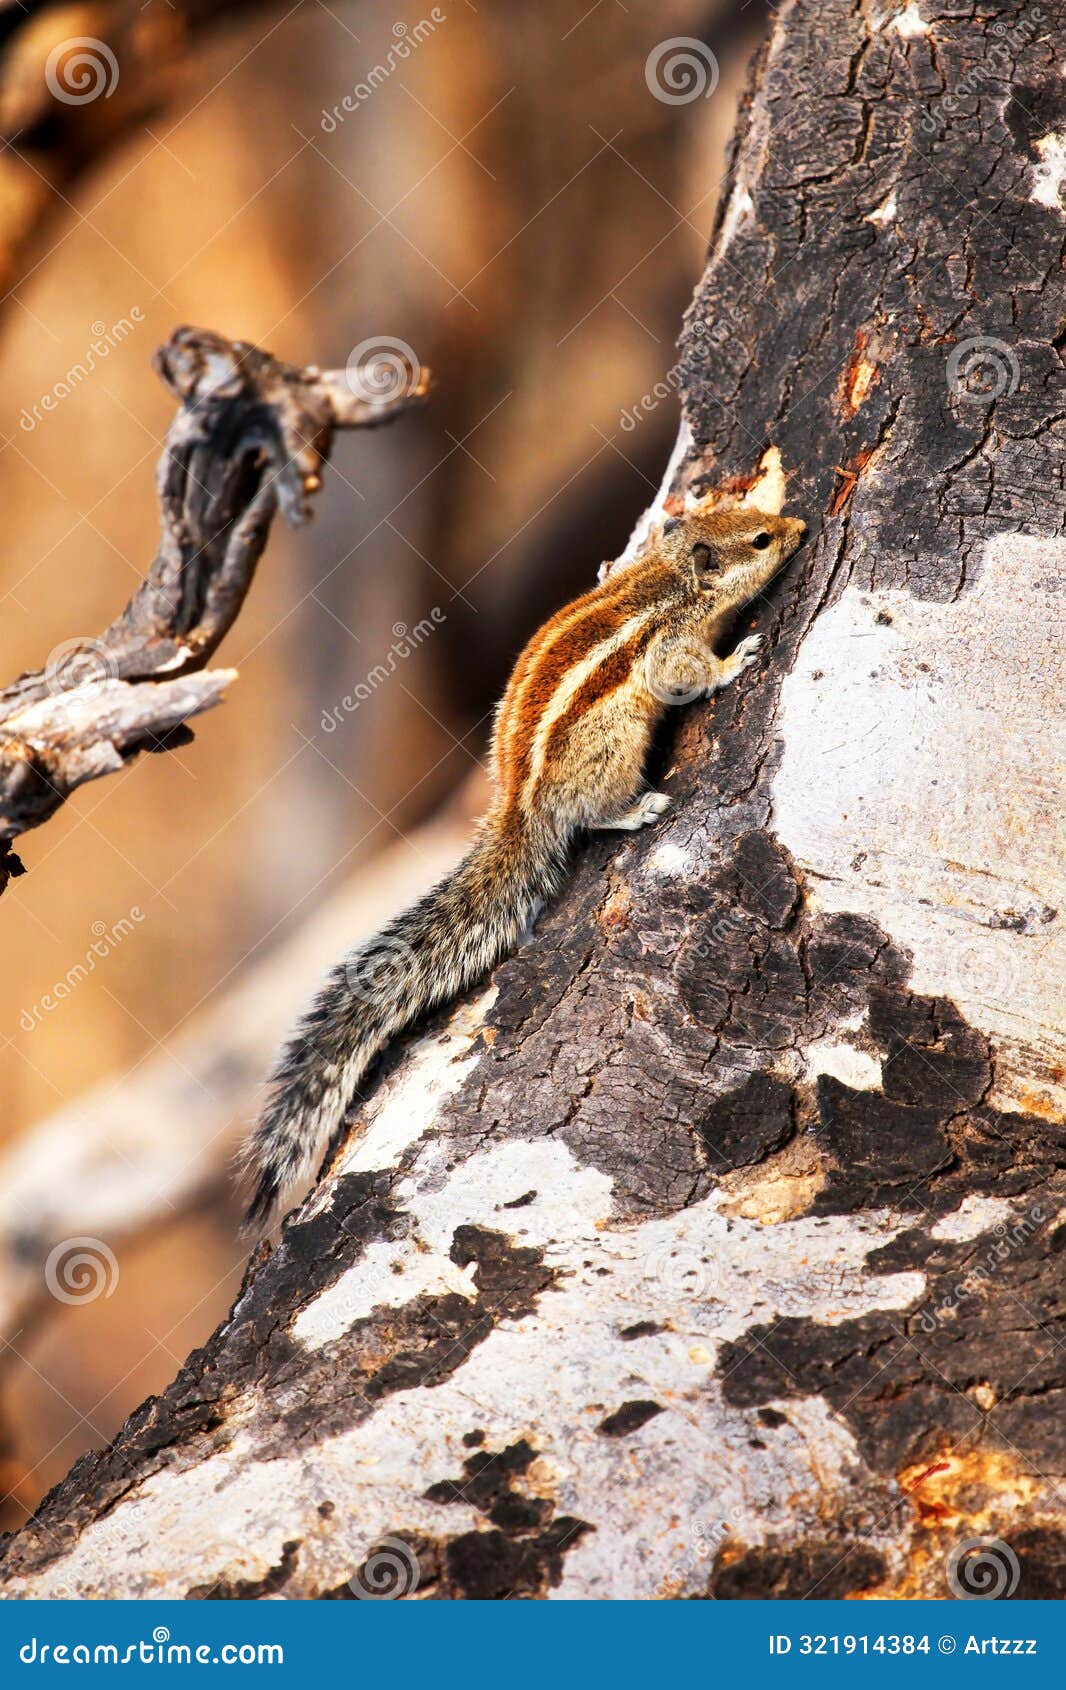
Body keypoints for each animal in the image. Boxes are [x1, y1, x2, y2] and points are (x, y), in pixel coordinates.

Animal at [242, 504, 807, 1227]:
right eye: (760, 540)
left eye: (760, 517)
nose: (798, 528)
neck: (670, 581)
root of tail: (519, 807)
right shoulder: (669, 647)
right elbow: (686, 674)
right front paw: (734, 661)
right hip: (611, 751)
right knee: (589, 815)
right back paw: (634, 810)